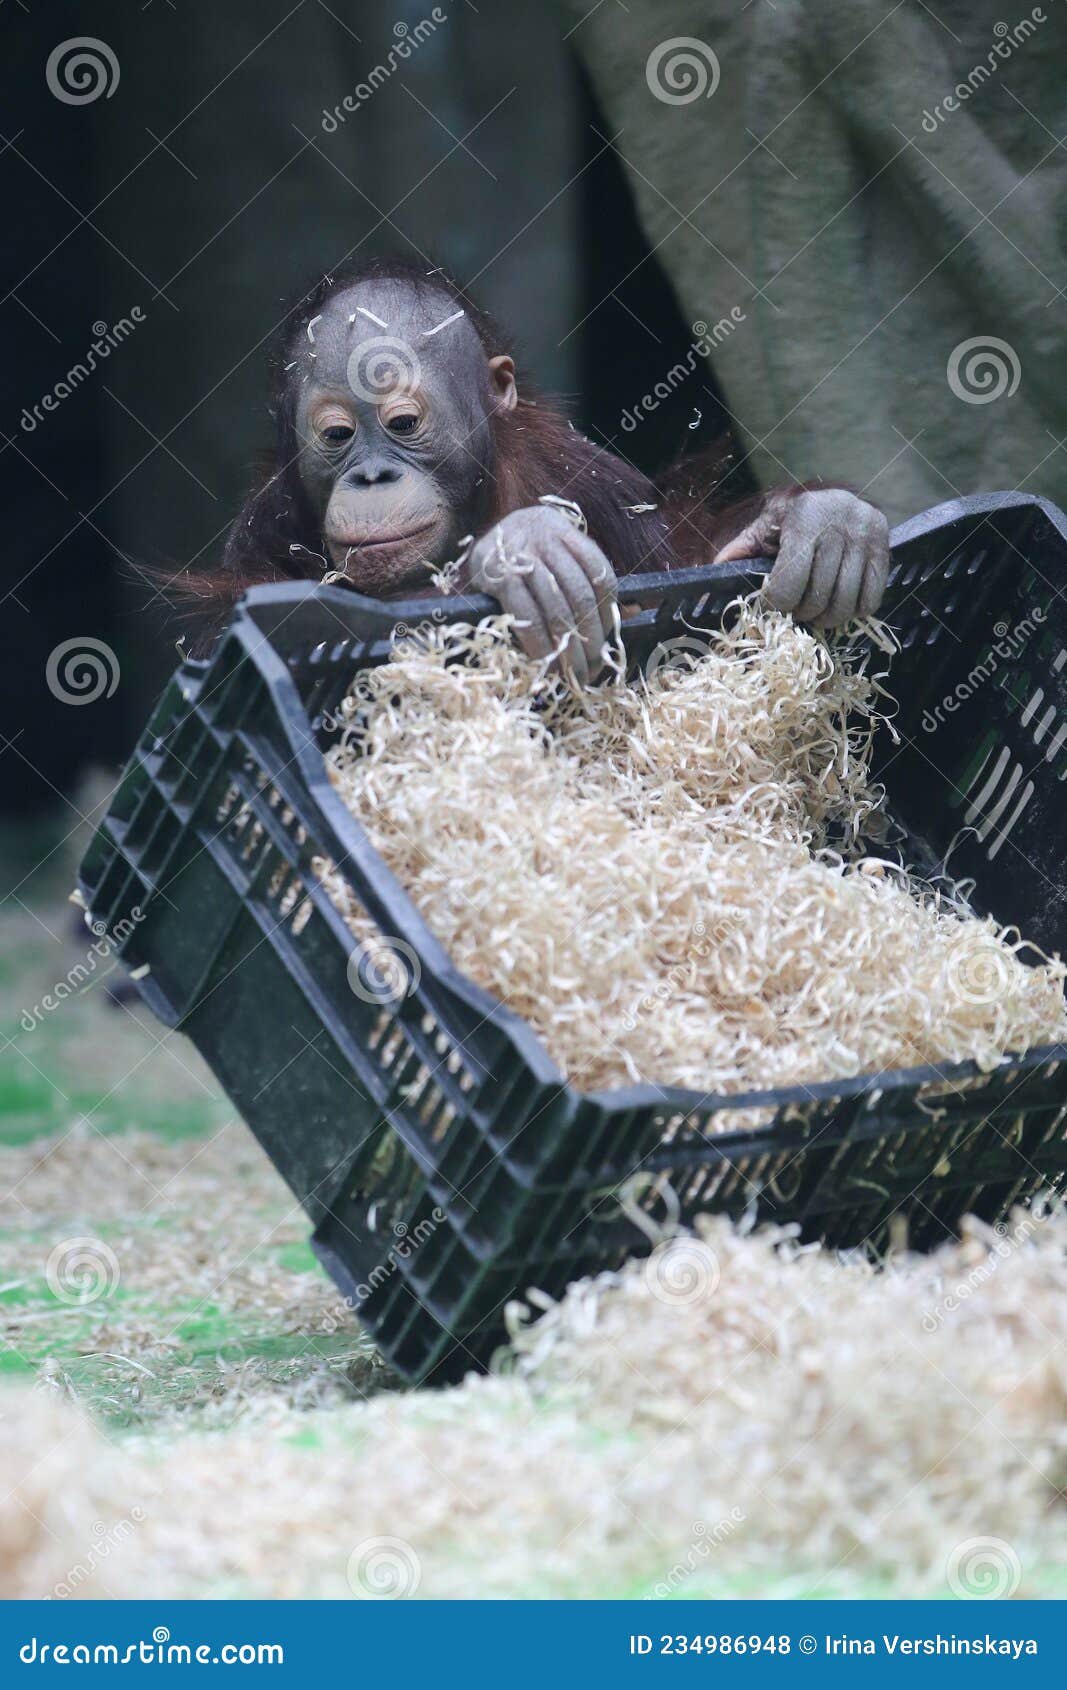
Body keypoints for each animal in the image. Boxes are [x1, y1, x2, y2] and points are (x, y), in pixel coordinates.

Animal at [181, 256, 890, 681]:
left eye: (403, 424)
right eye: (337, 435)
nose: (372, 477)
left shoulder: (591, 478)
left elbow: (676, 567)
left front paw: (814, 519)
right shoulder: (263, 524)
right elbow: (254, 632)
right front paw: (520, 554)